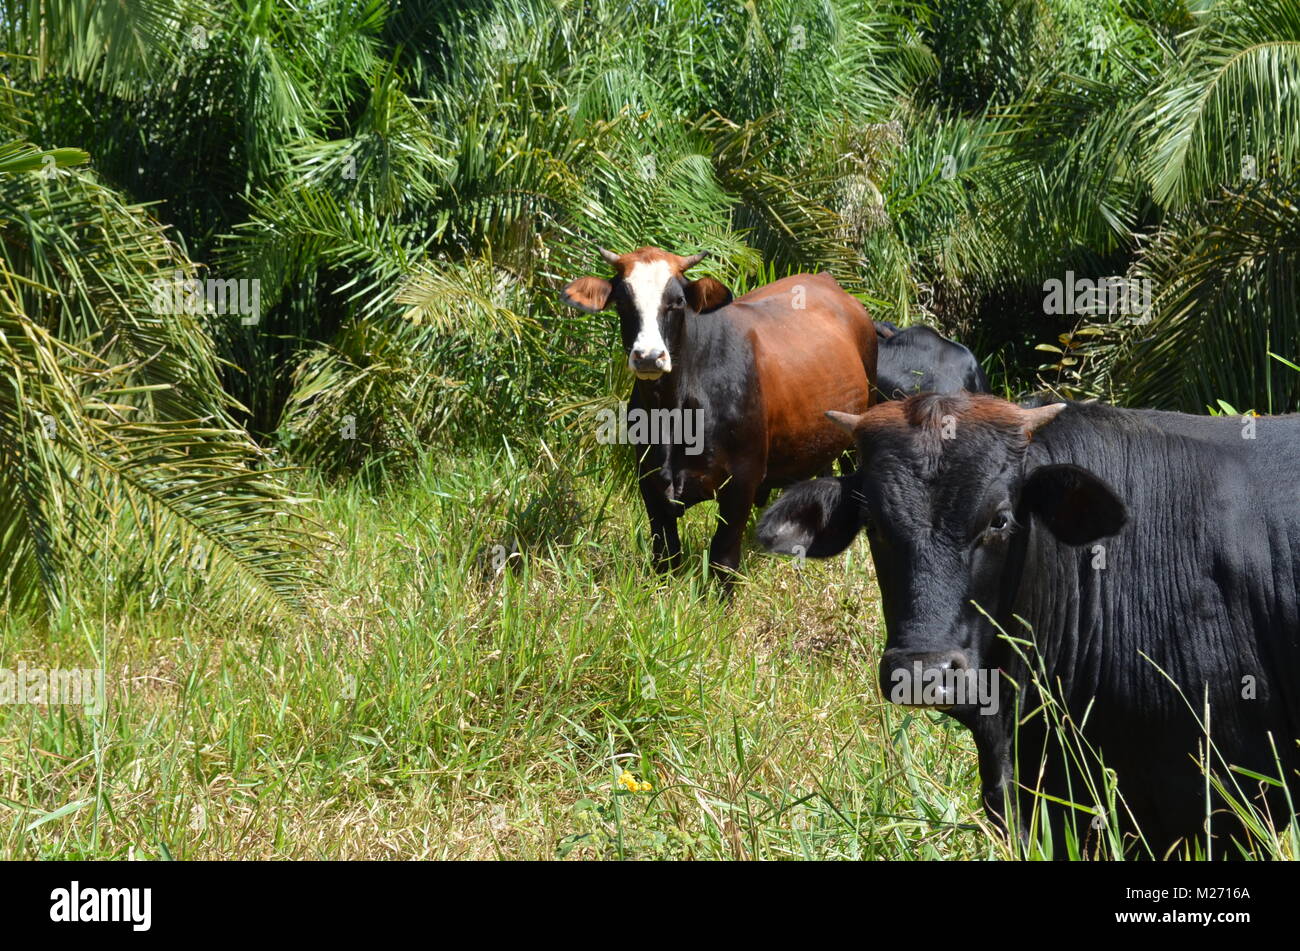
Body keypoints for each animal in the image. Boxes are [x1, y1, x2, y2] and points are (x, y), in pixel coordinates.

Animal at [561, 246, 877, 587]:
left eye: (677, 301)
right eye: (621, 301)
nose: (648, 356)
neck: (674, 411)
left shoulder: (741, 482)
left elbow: (723, 560)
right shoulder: (649, 479)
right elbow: (666, 556)